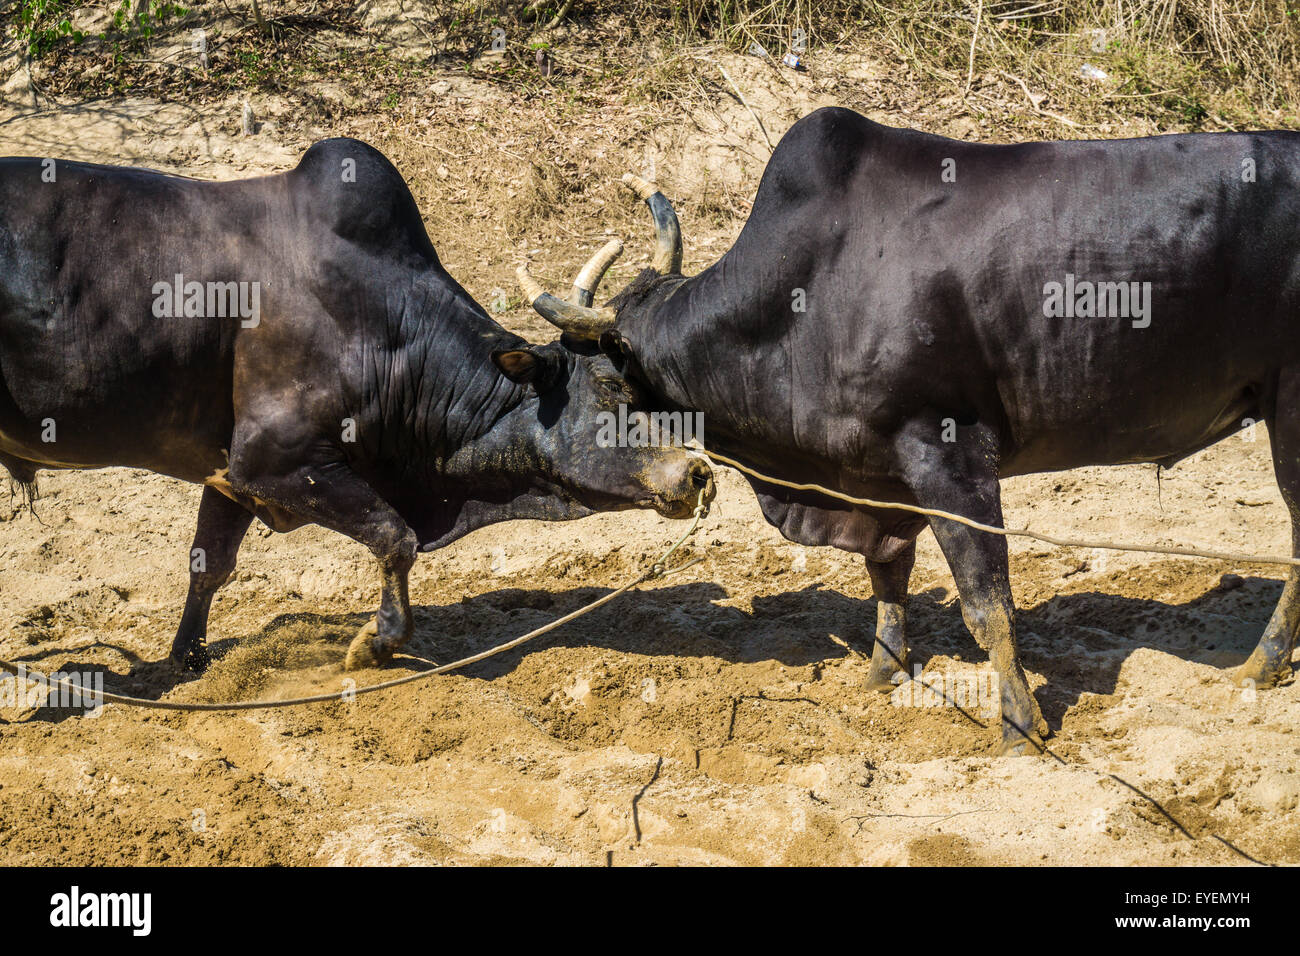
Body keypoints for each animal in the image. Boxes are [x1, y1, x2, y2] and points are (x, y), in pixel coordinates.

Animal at [0, 138, 714, 675]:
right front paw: (373, 644)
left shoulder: (231, 477)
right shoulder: (275, 463)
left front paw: (184, 664)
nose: (697, 472)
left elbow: (210, 567)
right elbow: (396, 537)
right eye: (611, 389)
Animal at [517, 107, 1300, 755]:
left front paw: (1020, 726)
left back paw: (1260, 666)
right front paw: (881, 673)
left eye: (608, 382)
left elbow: (987, 603)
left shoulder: (948, 455)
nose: (689, 482)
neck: (802, 296)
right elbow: (886, 573)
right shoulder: (877, 476)